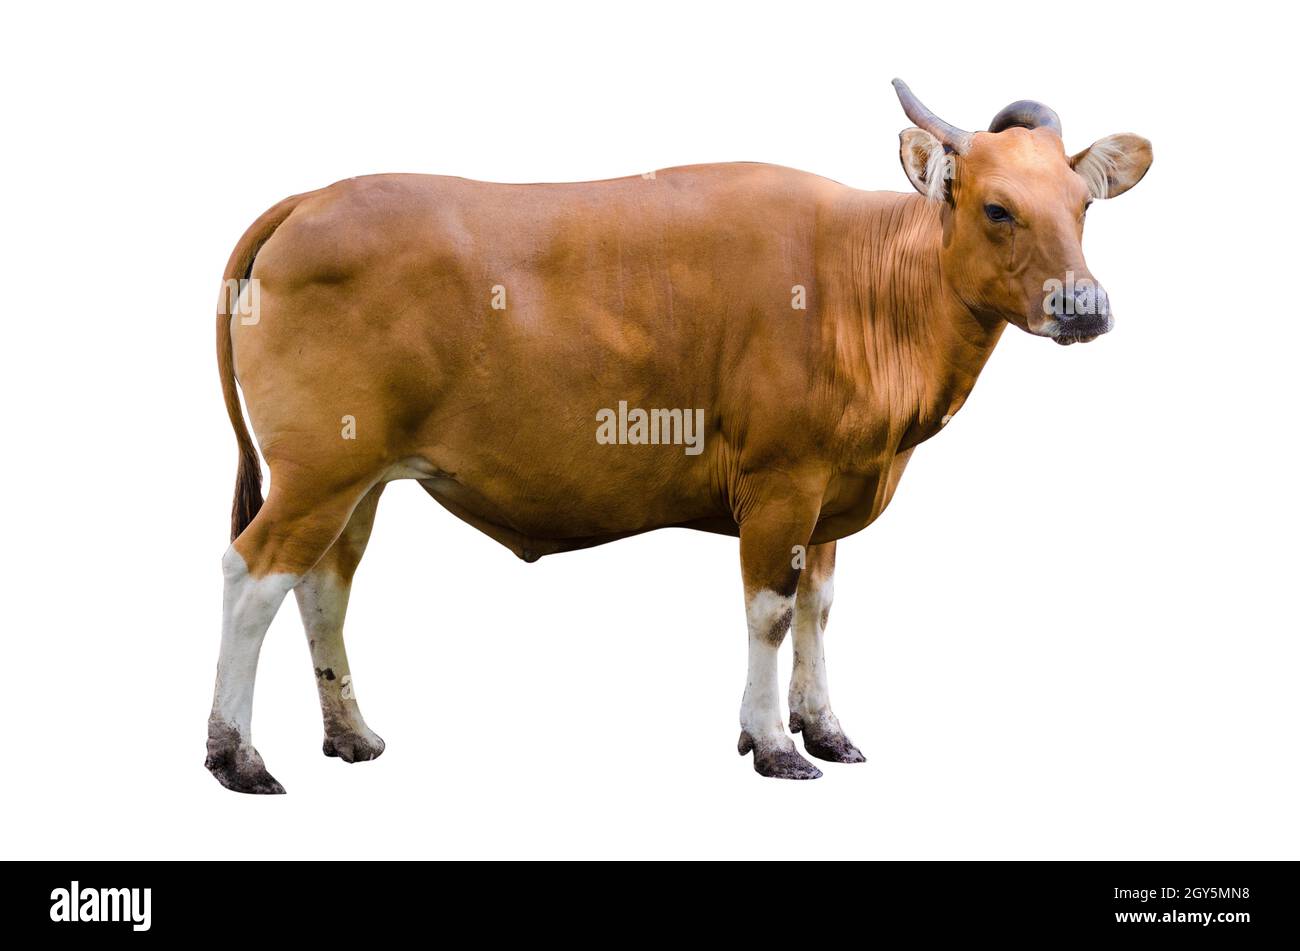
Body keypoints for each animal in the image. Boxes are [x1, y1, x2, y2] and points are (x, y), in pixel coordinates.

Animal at [207, 80, 1152, 792]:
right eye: (997, 208)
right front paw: (771, 741)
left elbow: (819, 607)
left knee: (323, 585)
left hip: (359, 477)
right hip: (319, 469)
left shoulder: (832, 489)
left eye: (1081, 206)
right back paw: (236, 755)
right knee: (252, 575)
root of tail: (310, 200)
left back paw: (350, 732)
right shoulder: (781, 480)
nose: (1086, 306)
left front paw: (824, 727)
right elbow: (770, 610)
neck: (866, 284)